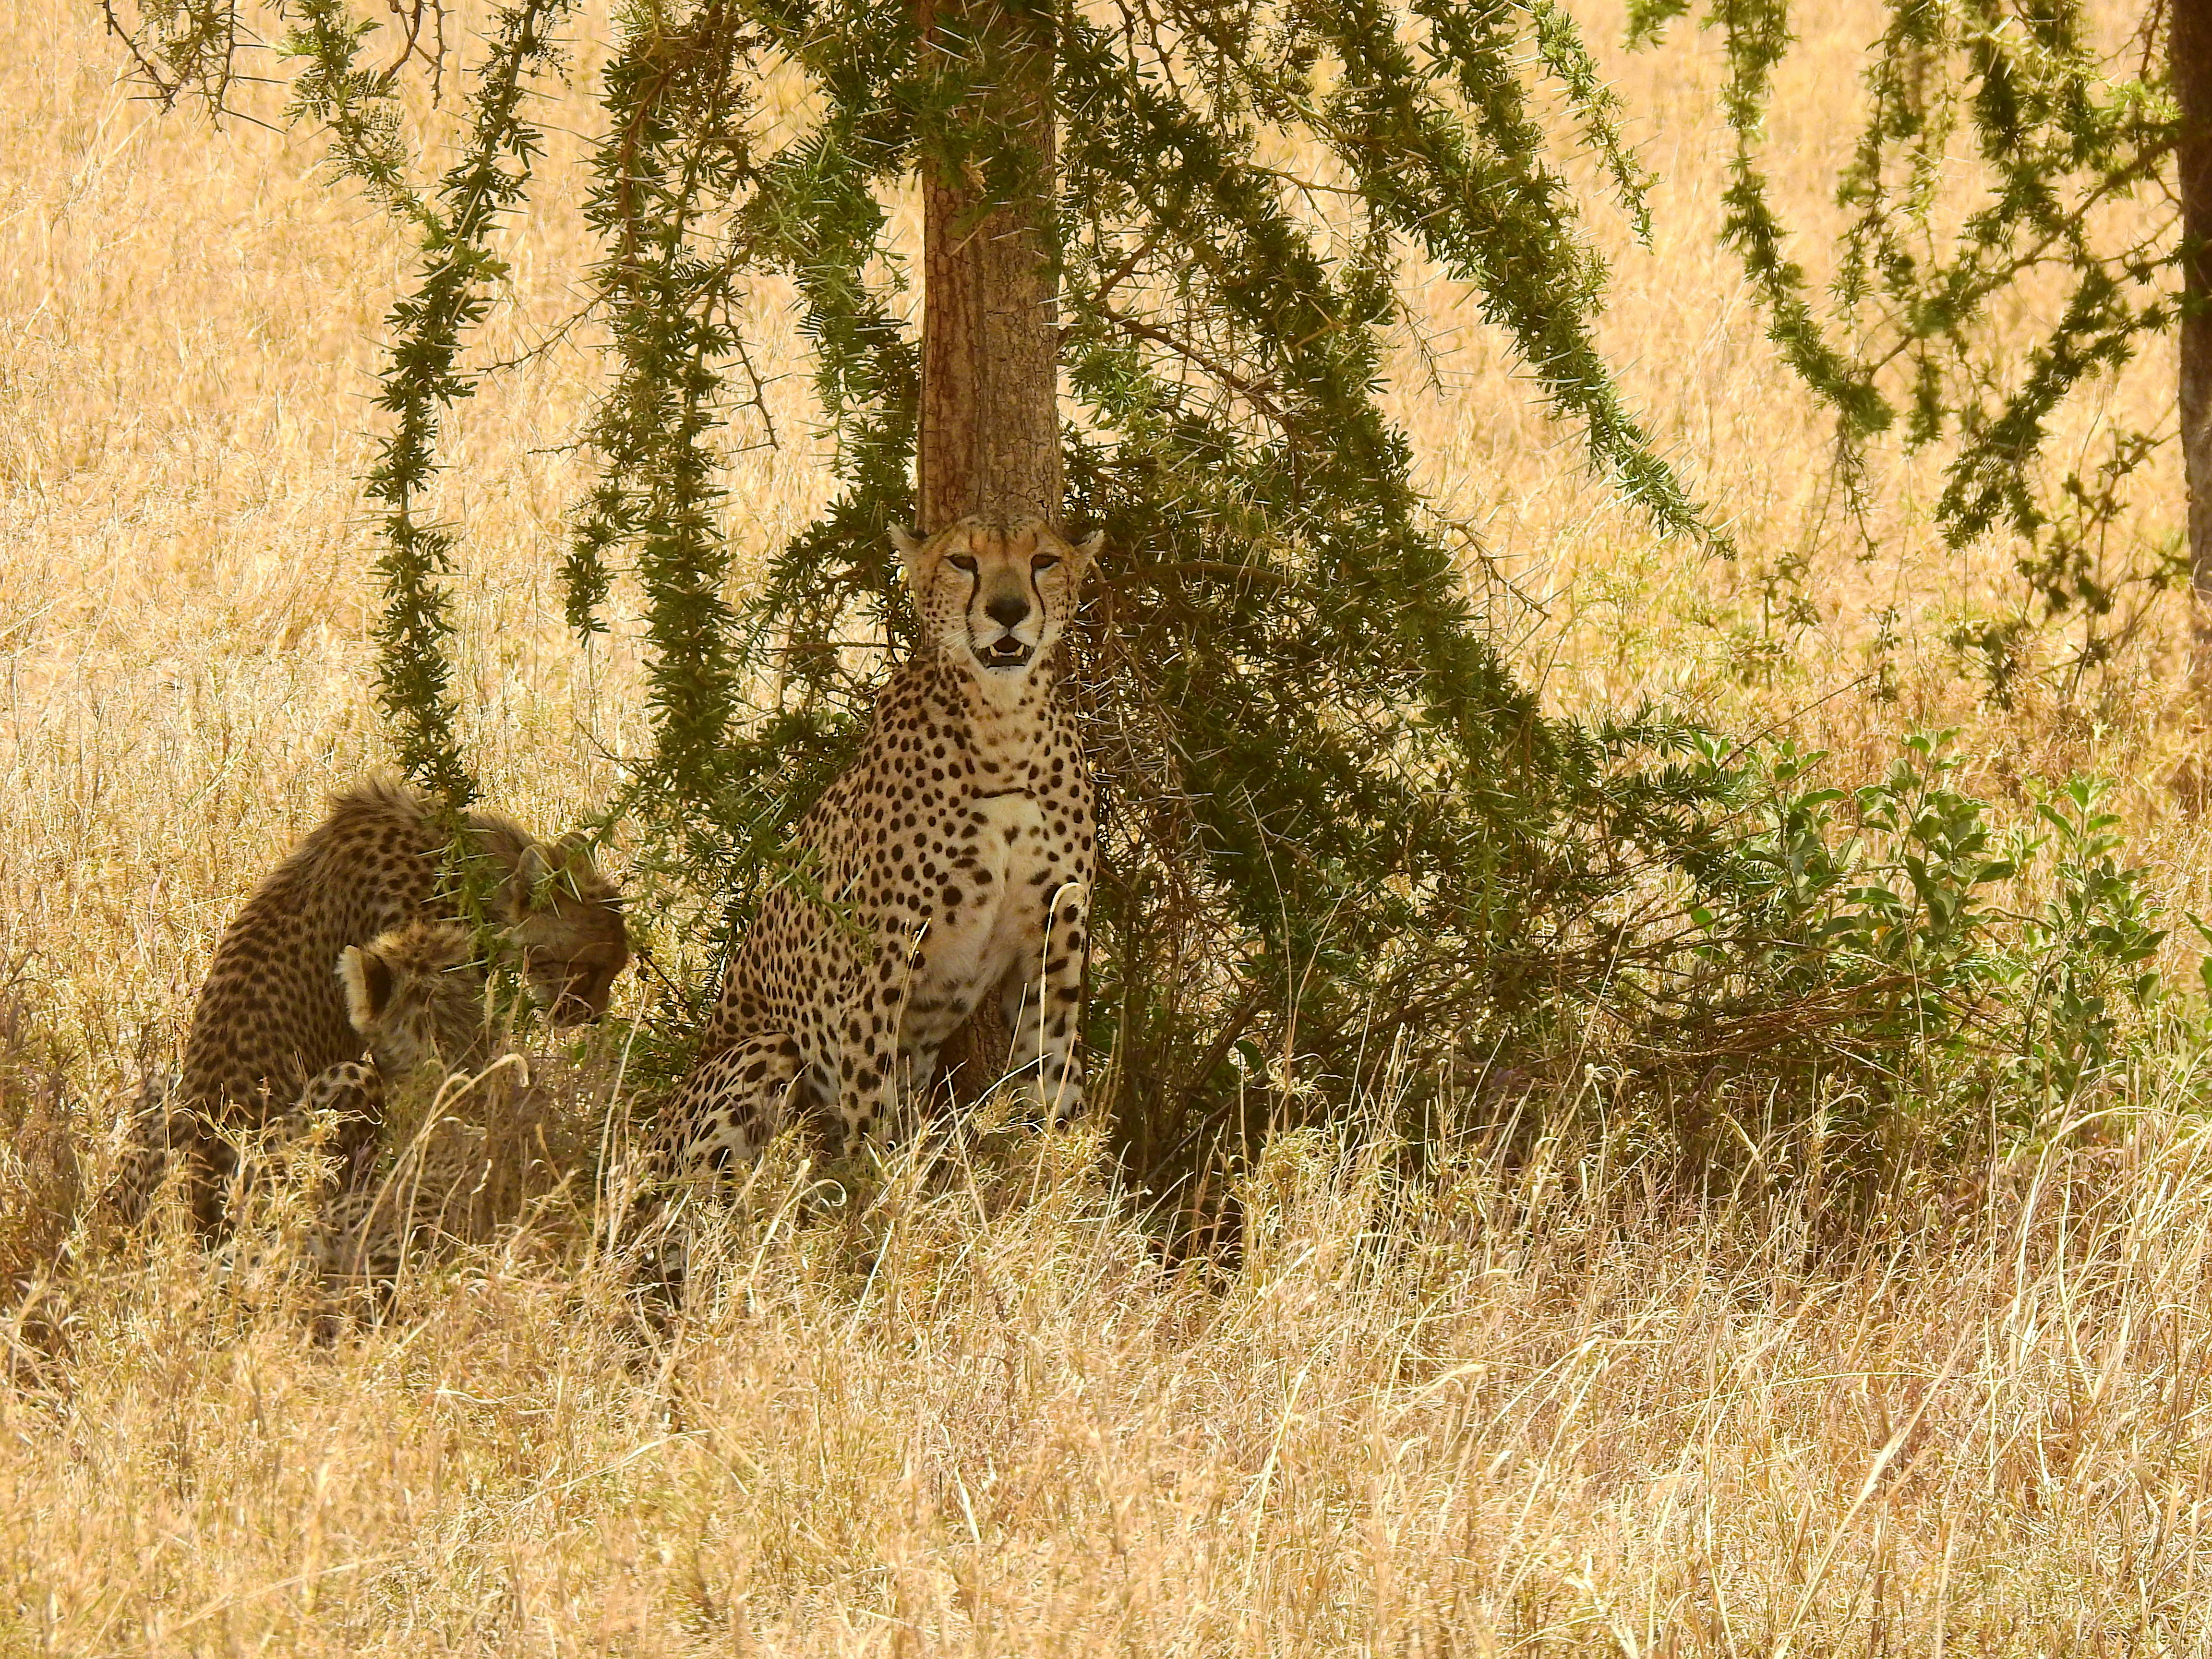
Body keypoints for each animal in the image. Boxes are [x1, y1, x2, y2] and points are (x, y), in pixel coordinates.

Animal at [657, 514, 1100, 1180]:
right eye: (964, 562)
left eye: (1043, 561)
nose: (1008, 611)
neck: (1005, 723)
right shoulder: (878, 964)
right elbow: (870, 1111)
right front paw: (880, 1198)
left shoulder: (1054, 942)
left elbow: (1050, 1075)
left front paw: (1051, 1178)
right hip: (761, 1053)